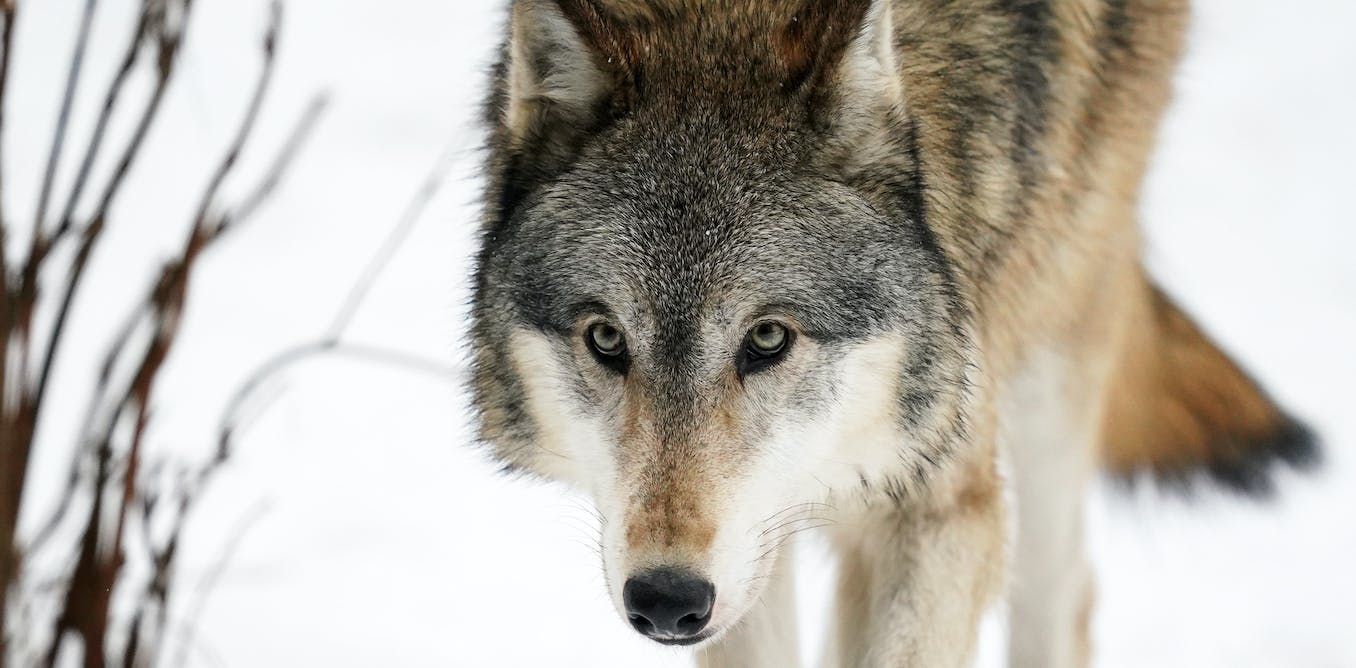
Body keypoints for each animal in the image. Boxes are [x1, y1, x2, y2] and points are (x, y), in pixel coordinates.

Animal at [468, 0, 1318, 666]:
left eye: (768, 339)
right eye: (607, 340)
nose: (667, 598)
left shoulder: (940, 505)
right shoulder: (755, 552)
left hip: (1054, 343)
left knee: (1063, 593)